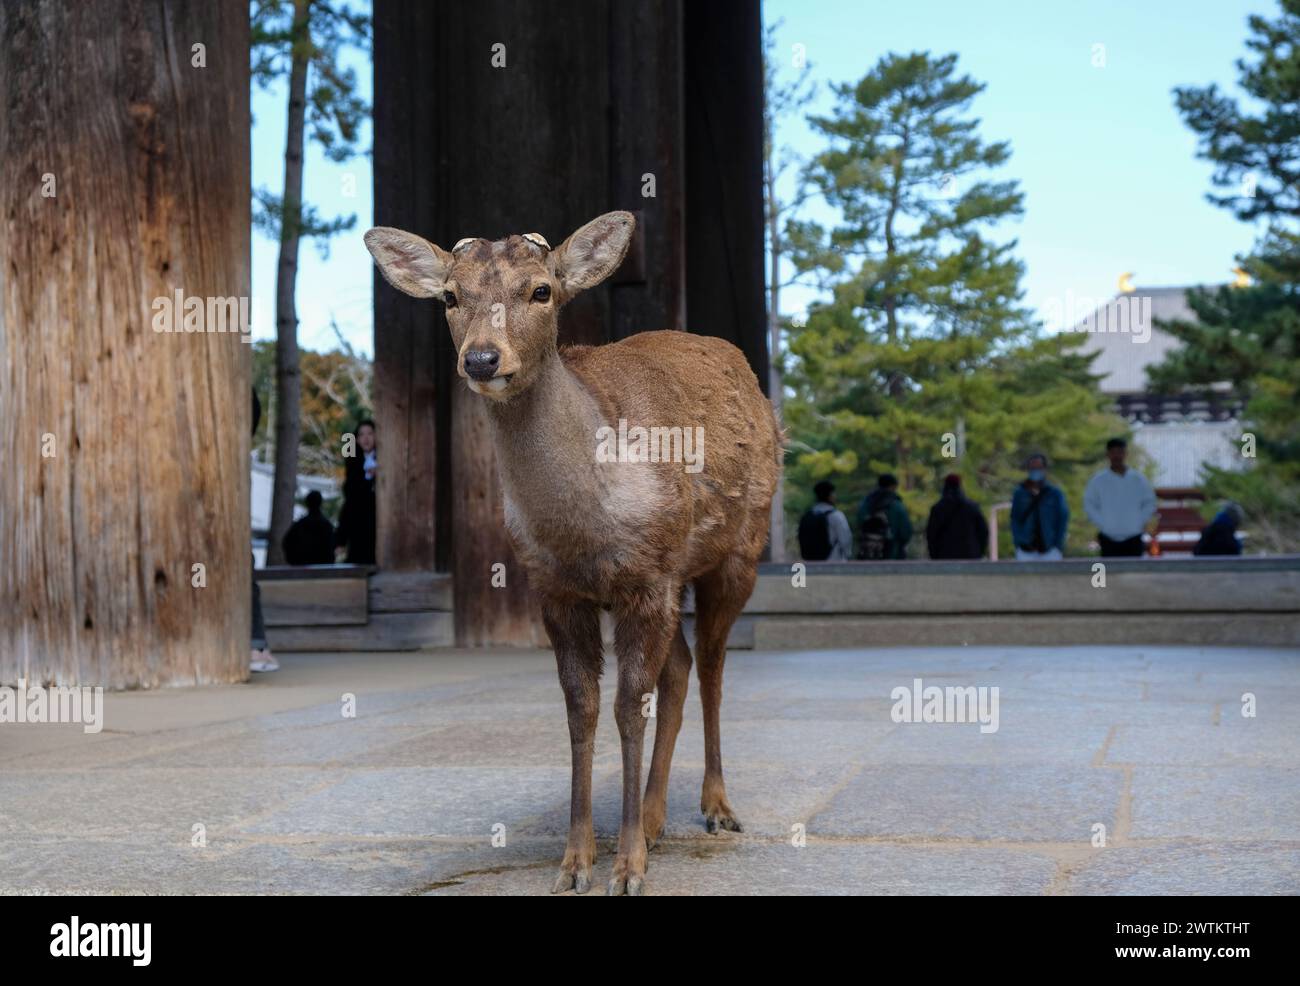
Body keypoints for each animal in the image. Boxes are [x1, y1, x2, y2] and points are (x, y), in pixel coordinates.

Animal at [364, 211, 781, 895]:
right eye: (450, 296)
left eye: (541, 290)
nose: (482, 358)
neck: (584, 528)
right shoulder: (558, 590)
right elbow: (581, 710)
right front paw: (576, 861)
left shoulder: (651, 577)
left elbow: (627, 709)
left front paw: (627, 868)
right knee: (680, 668)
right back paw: (654, 816)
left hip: (737, 555)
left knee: (713, 669)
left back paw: (716, 807)